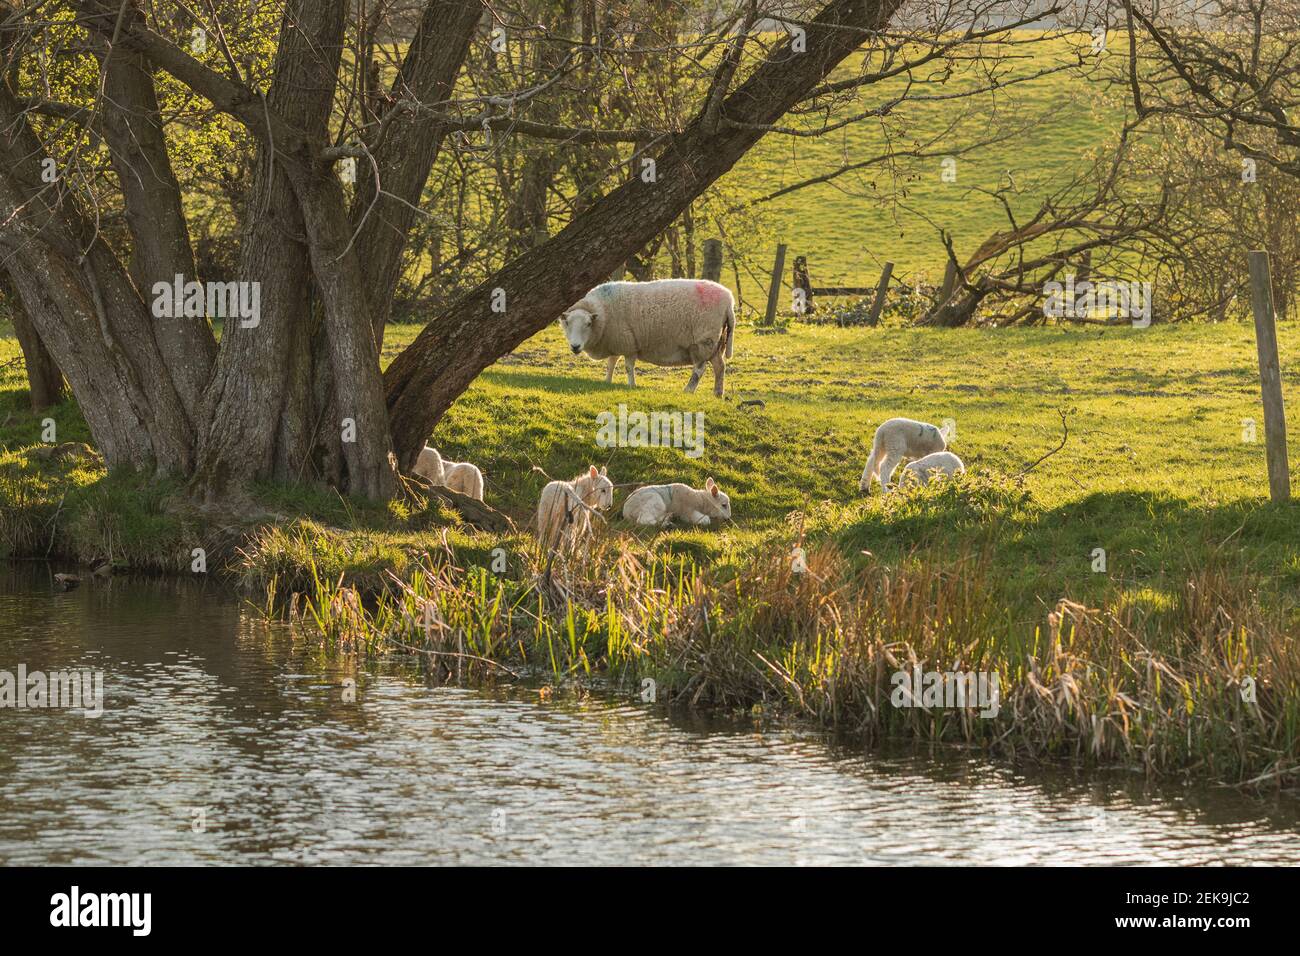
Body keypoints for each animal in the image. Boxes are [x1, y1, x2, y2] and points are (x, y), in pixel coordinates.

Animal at [558, 278, 735, 397]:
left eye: (588, 324)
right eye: (567, 323)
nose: (575, 346)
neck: (604, 314)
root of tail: (729, 301)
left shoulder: (629, 344)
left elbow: (628, 367)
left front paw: (631, 385)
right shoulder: (616, 340)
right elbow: (611, 363)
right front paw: (607, 381)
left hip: (703, 341)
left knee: (699, 369)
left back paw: (688, 390)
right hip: (716, 343)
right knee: (720, 366)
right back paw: (718, 393)